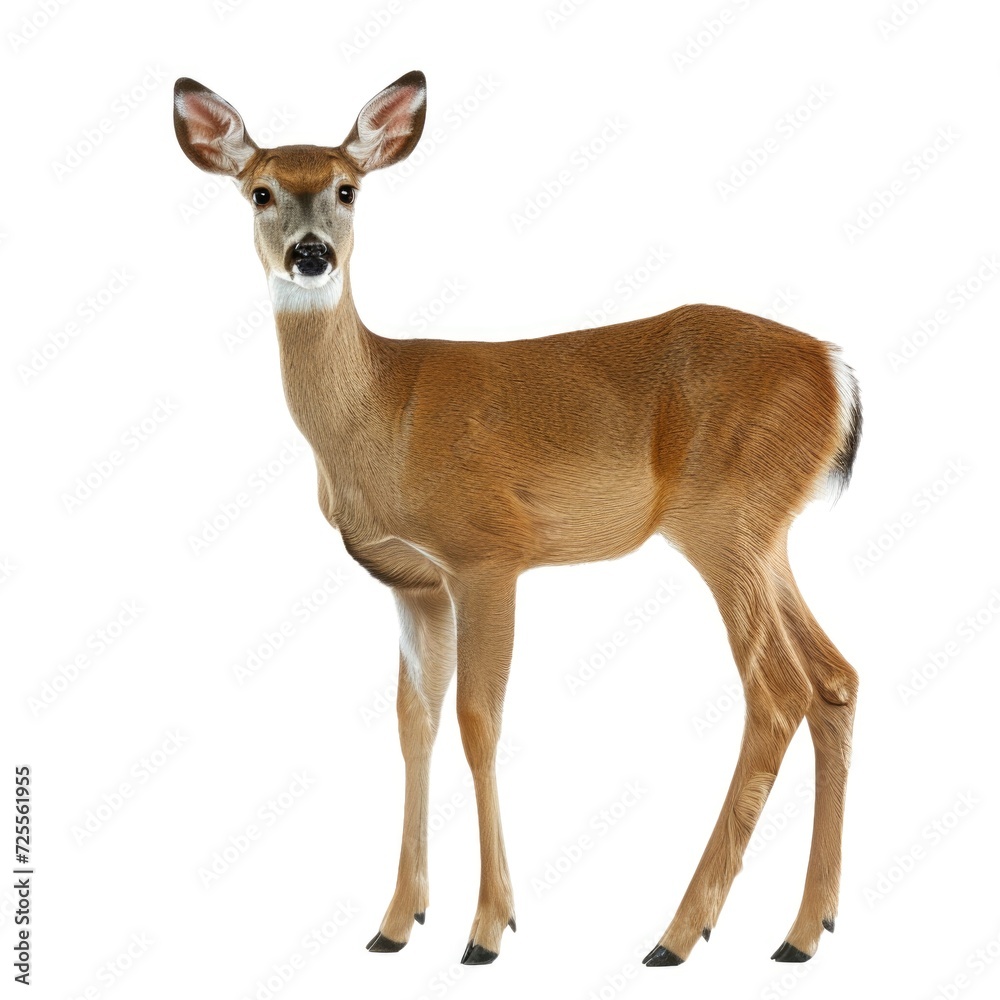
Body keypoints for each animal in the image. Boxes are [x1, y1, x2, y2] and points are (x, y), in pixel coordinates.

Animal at [173, 70, 861, 968]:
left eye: (348, 189)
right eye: (259, 191)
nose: (311, 253)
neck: (381, 414)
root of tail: (836, 369)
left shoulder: (487, 554)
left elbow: (478, 721)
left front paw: (487, 929)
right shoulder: (414, 582)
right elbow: (415, 723)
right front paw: (396, 923)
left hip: (725, 519)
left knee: (777, 691)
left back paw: (678, 935)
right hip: (768, 534)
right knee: (835, 680)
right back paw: (804, 932)